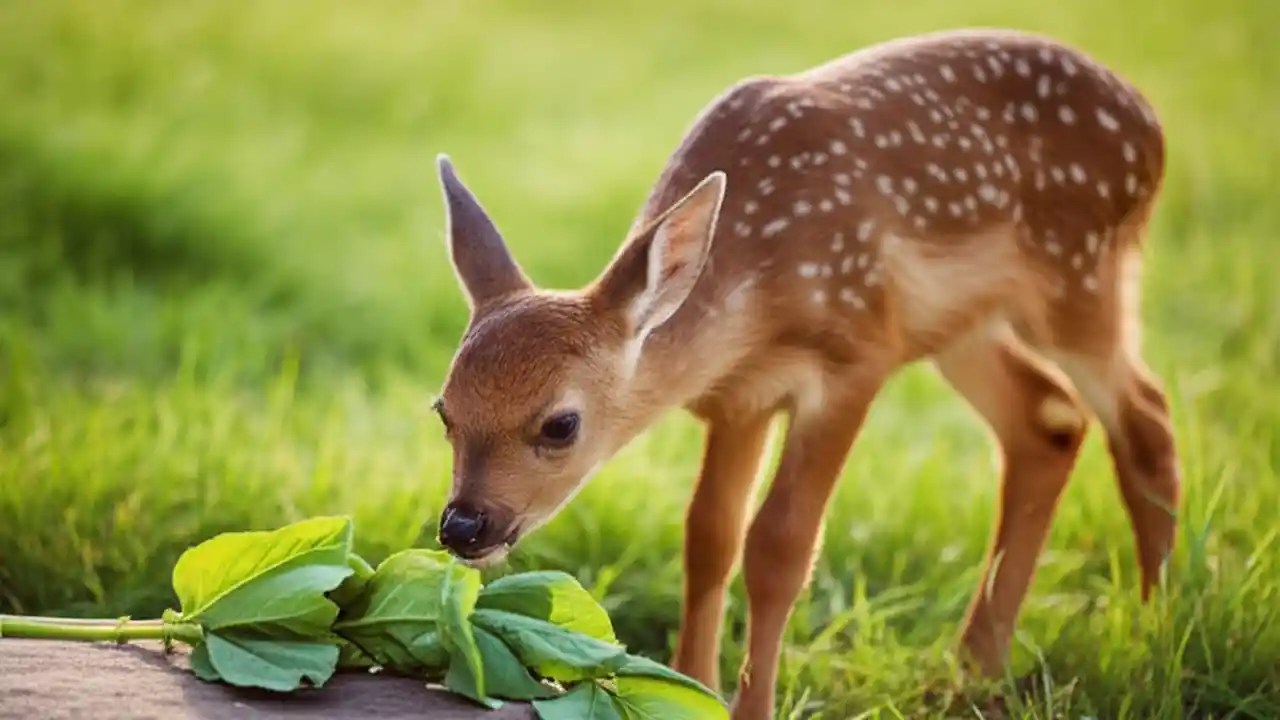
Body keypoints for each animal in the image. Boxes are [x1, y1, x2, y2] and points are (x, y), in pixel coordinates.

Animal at [430, 28, 1180, 719]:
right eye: (444, 413)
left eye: (560, 424)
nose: (464, 526)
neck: (755, 288)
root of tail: (1152, 124)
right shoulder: (742, 396)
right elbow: (710, 536)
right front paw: (692, 687)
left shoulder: (855, 358)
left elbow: (779, 547)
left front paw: (751, 705)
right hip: (965, 325)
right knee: (1048, 419)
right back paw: (977, 666)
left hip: (1080, 278)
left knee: (1145, 415)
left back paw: (1152, 632)